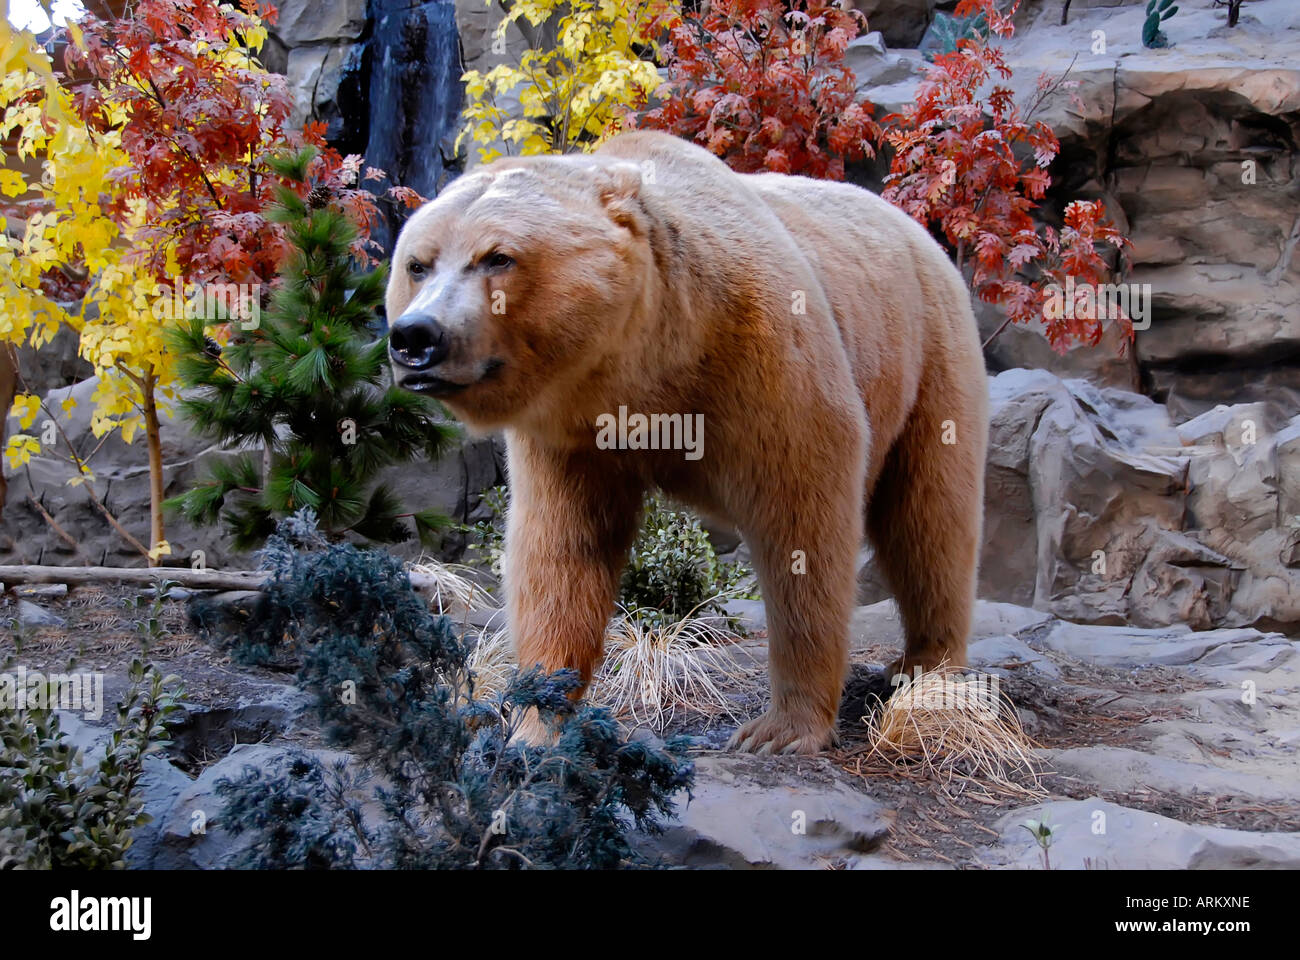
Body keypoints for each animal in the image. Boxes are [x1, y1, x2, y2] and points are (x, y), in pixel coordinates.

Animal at [386, 131, 989, 755]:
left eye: (498, 257)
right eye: (417, 263)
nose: (416, 336)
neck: (655, 359)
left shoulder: (763, 349)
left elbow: (804, 522)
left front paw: (779, 731)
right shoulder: (570, 432)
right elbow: (562, 552)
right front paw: (536, 724)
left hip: (928, 351)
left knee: (931, 518)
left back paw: (927, 668)